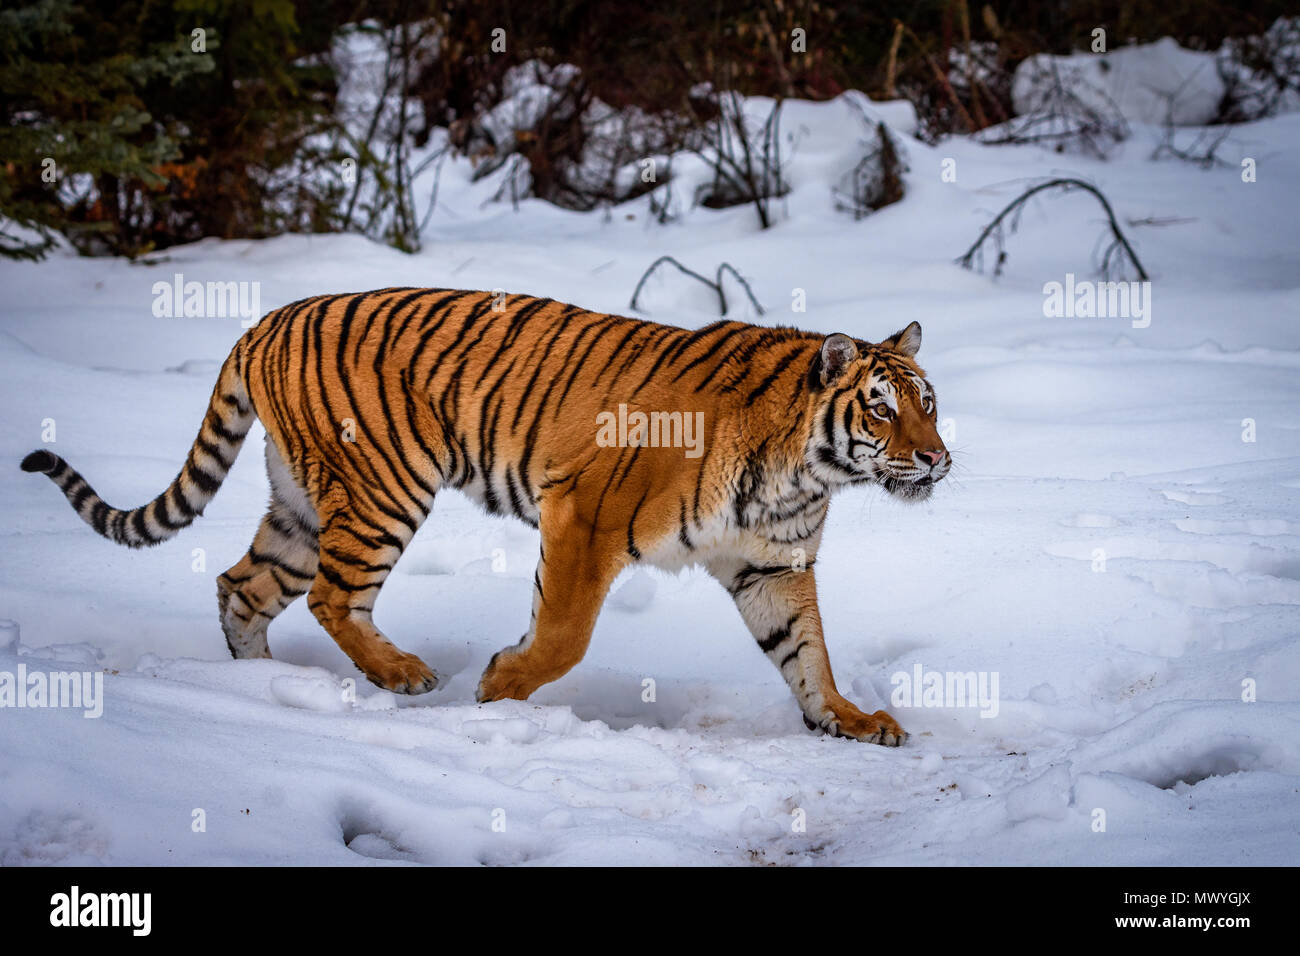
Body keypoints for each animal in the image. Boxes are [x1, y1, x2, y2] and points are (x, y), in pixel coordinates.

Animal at [20, 288, 949, 745]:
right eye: (880, 409)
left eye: (929, 403)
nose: (938, 458)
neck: (805, 471)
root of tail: (266, 321)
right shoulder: (585, 515)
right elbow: (564, 635)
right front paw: (498, 686)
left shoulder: (772, 566)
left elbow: (808, 654)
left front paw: (848, 721)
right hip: (383, 487)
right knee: (329, 596)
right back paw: (403, 675)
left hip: (301, 504)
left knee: (241, 585)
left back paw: (256, 687)